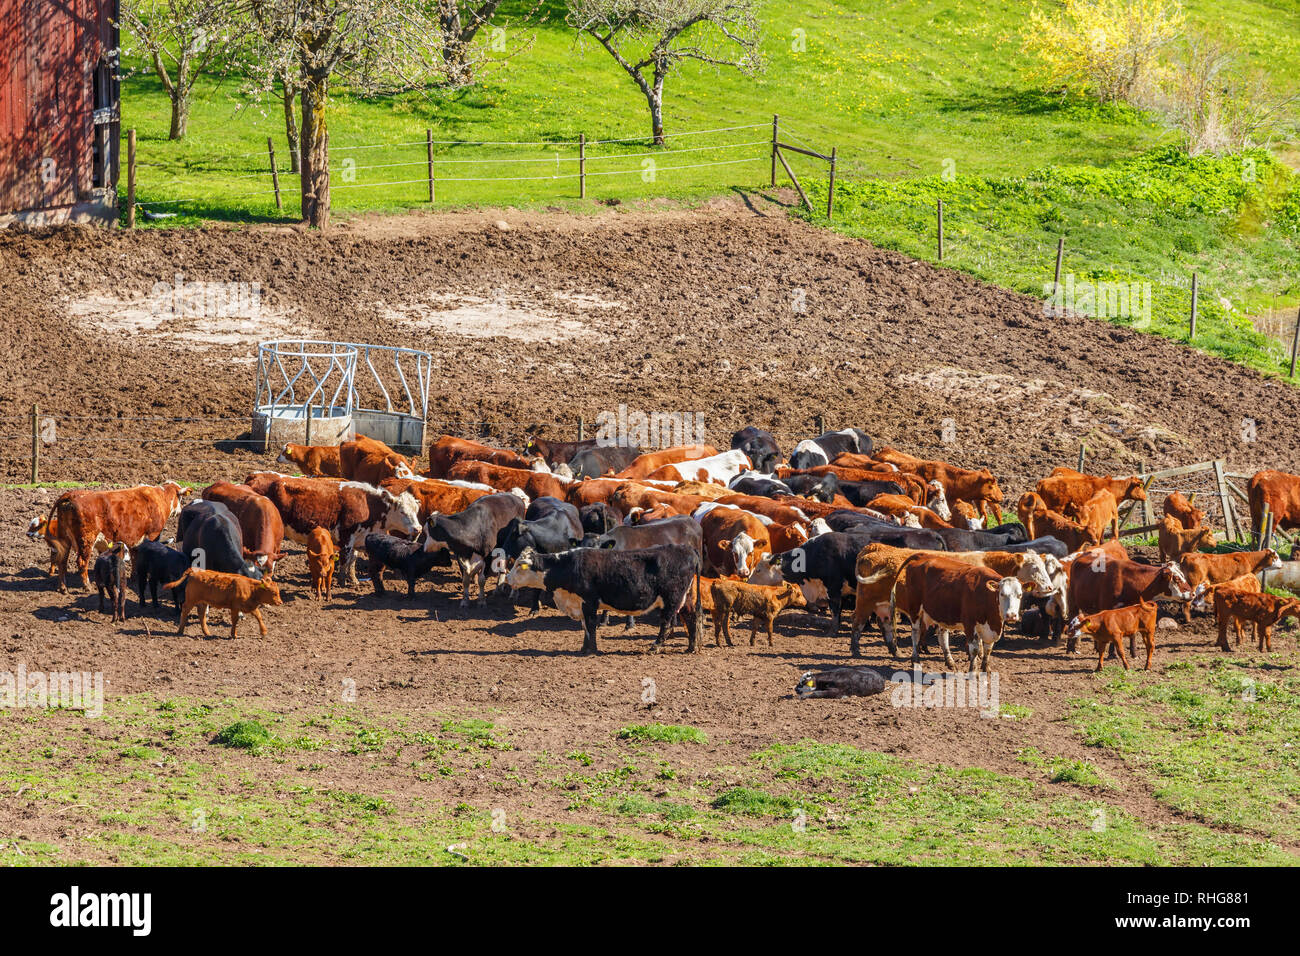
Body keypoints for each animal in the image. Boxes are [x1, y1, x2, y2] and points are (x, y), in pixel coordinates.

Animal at [49, 482, 188, 592]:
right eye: (180, 498)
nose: (180, 511)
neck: (160, 498)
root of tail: (71, 495)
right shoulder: (153, 534)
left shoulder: (135, 539)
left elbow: (135, 557)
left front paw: (134, 577)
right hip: (86, 540)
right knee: (82, 562)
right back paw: (86, 585)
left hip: (65, 539)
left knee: (62, 561)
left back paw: (63, 587)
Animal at [506, 544, 702, 654]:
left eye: (519, 565)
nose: (507, 579)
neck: (567, 567)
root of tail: (688, 549)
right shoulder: (580, 604)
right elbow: (585, 626)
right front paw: (584, 648)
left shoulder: (588, 602)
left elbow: (590, 625)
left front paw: (591, 650)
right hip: (685, 599)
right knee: (691, 618)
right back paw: (691, 647)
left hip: (671, 600)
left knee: (667, 625)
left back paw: (655, 647)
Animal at [890, 554, 1023, 672]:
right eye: (1002, 594)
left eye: (1020, 595)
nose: (1011, 615)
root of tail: (923, 557)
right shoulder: (969, 623)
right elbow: (974, 649)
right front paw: (973, 670)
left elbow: (988, 649)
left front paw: (986, 668)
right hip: (915, 608)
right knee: (916, 633)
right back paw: (915, 660)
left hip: (941, 613)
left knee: (942, 636)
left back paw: (950, 663)